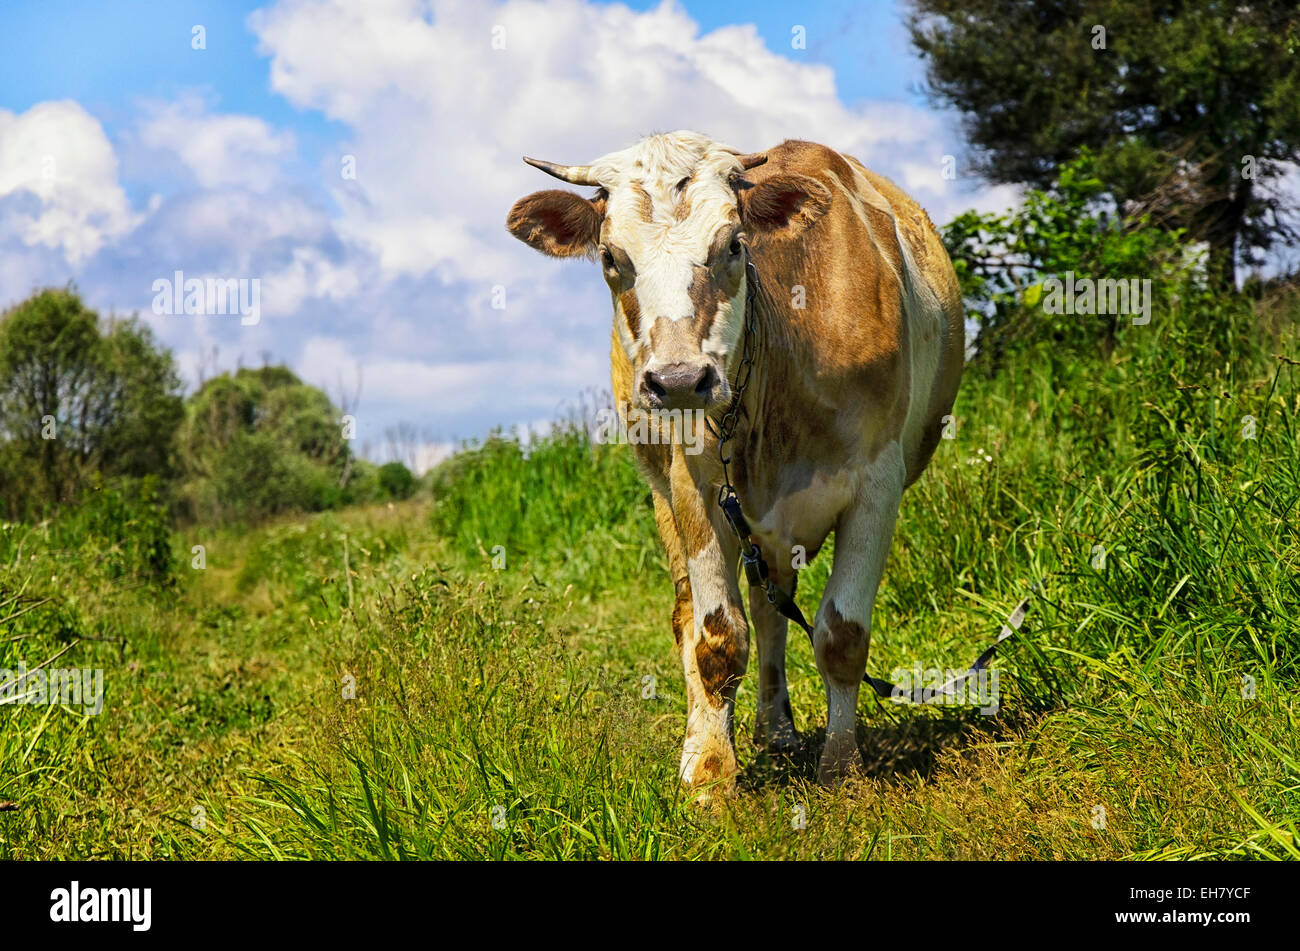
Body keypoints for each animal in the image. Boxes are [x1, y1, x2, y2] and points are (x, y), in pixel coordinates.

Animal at [506, 131, 964, 788]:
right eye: (611, 258)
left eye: (732, 244)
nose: (677, 380)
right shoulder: (693, 483)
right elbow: (716, 637)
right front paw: (710, 774)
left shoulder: (879, 481)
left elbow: (842, 635)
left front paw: (841, 769)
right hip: (664, 490)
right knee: (692, 617)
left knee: (773, 605)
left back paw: (777, 731)